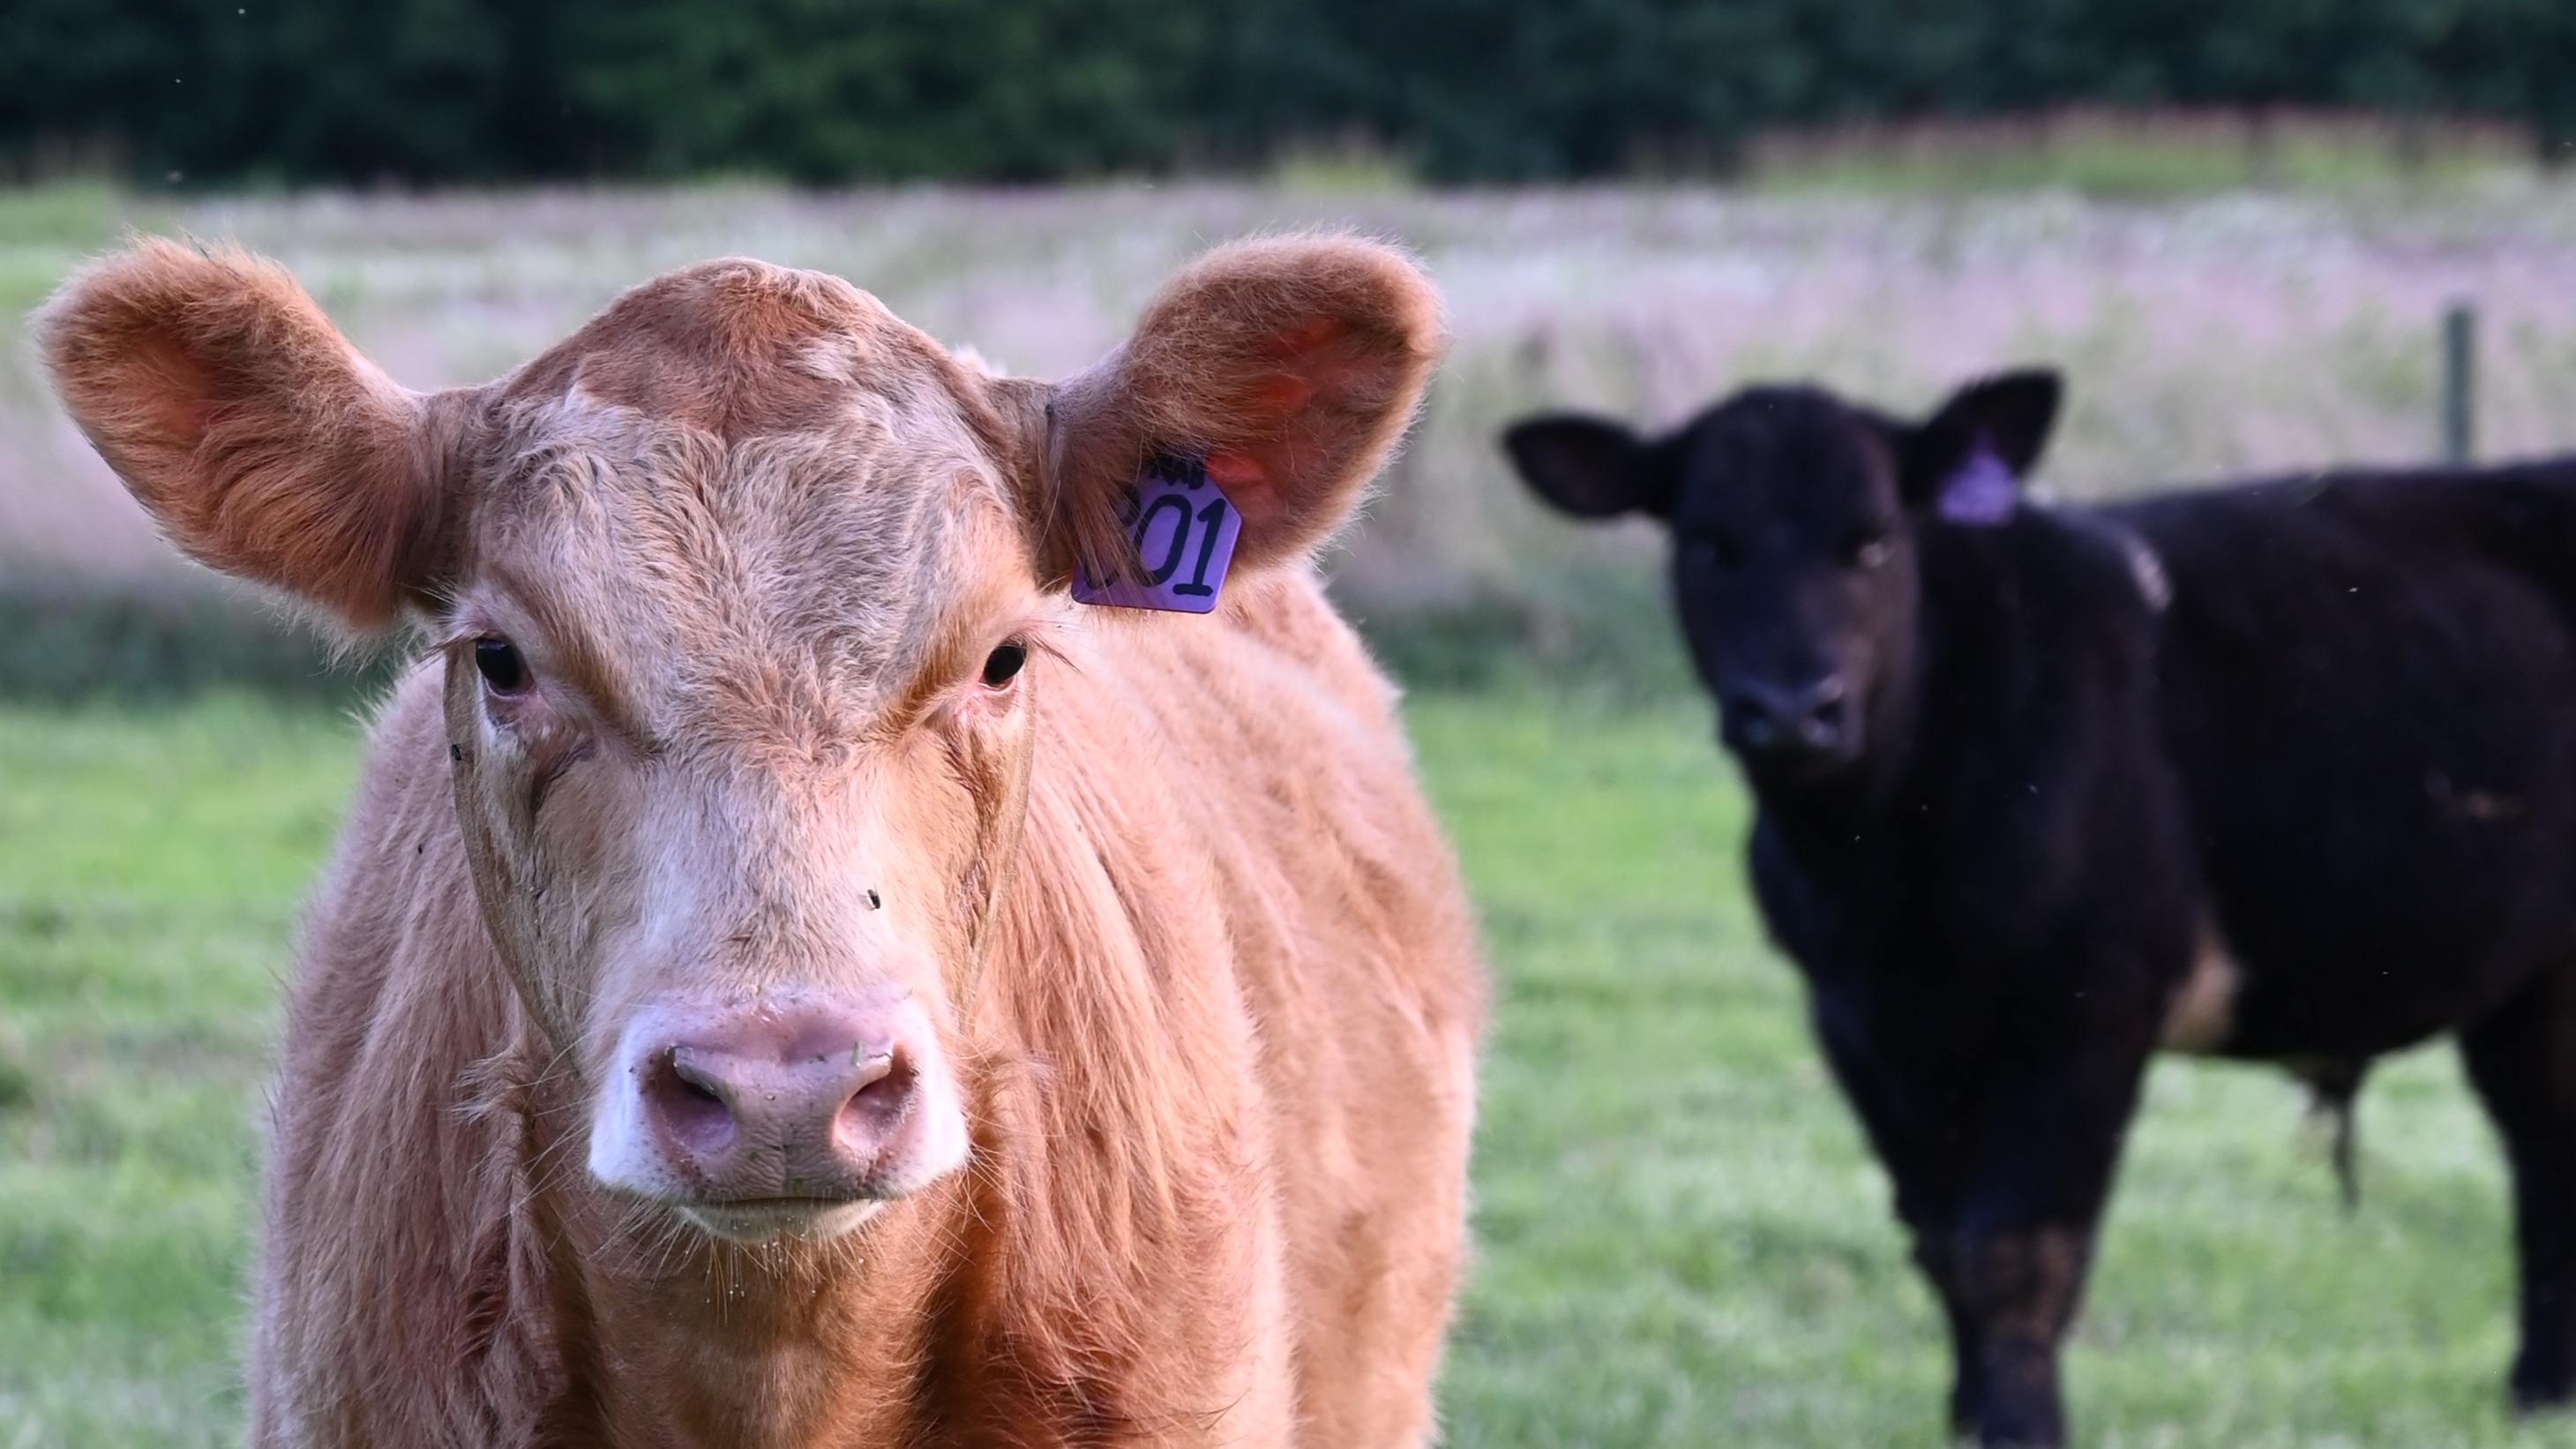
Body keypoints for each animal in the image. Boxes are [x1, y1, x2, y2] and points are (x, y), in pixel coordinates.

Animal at [1504, 371, 2576, 1446]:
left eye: (1875, 538)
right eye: (1705, 542)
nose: (1793, 711)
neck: (1884, 875)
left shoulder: (2087, 1005)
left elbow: (2017, 1249)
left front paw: (2022, 1426)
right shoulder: (1860, 1024)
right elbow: (1938, 1238)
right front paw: (1967, 1416)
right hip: (2526, 984)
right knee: (2541, 1148)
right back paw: (2539, 1391)